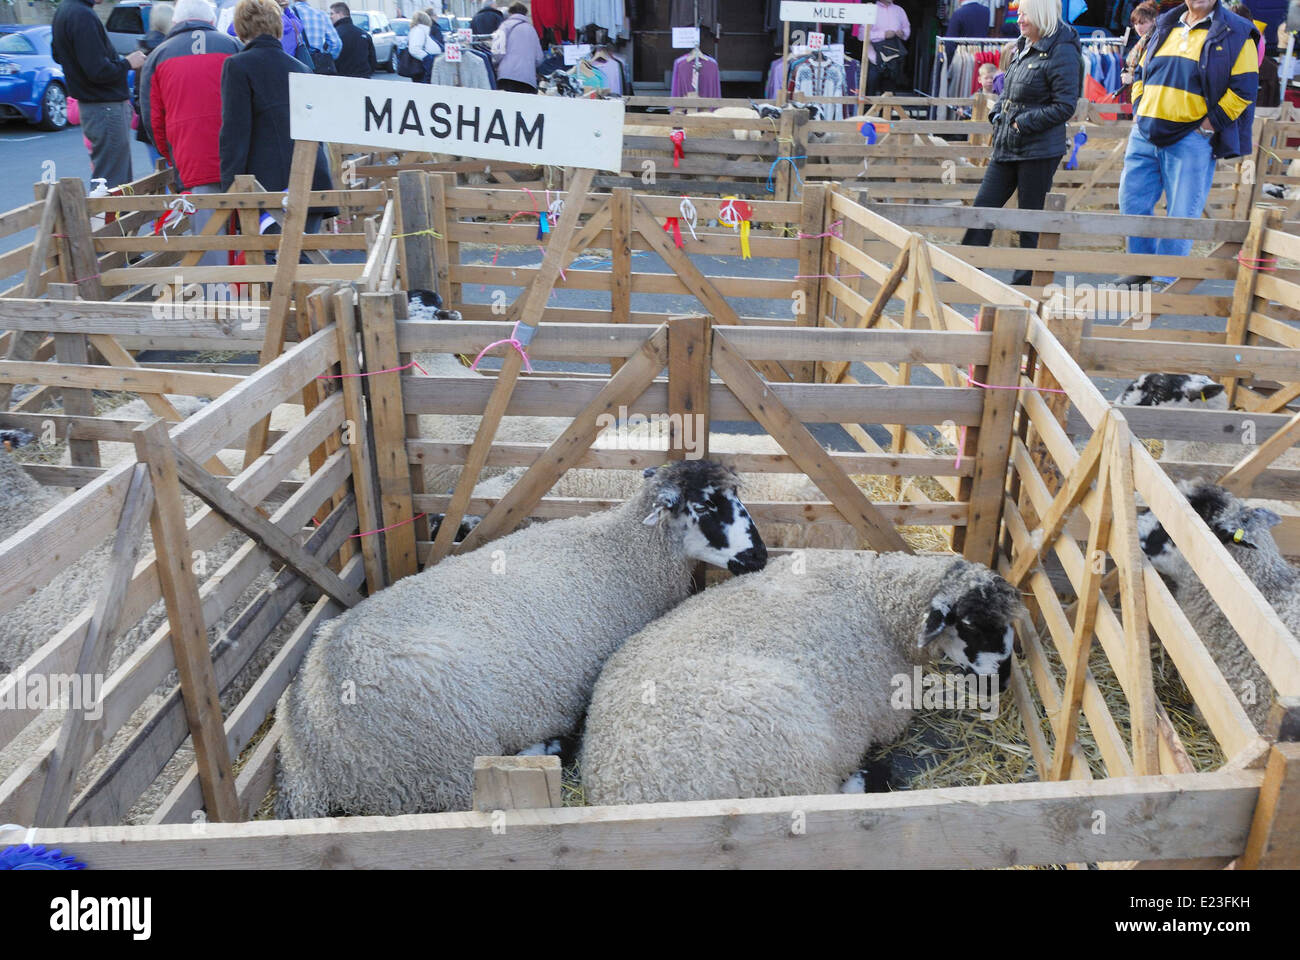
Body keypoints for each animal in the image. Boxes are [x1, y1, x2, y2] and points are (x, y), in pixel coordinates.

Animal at [274, 458, 768, 818]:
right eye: (705, 507)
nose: (760, 557)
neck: (621, 550)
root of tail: (307, 751)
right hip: (440, 756)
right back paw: (551, 745)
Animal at [580, 549, 1025, 805]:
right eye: (969, 625)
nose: (1003, 682)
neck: (876, 597)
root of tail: (630, 791)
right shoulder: (889, 712)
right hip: (789, 760)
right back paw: (871, 776)